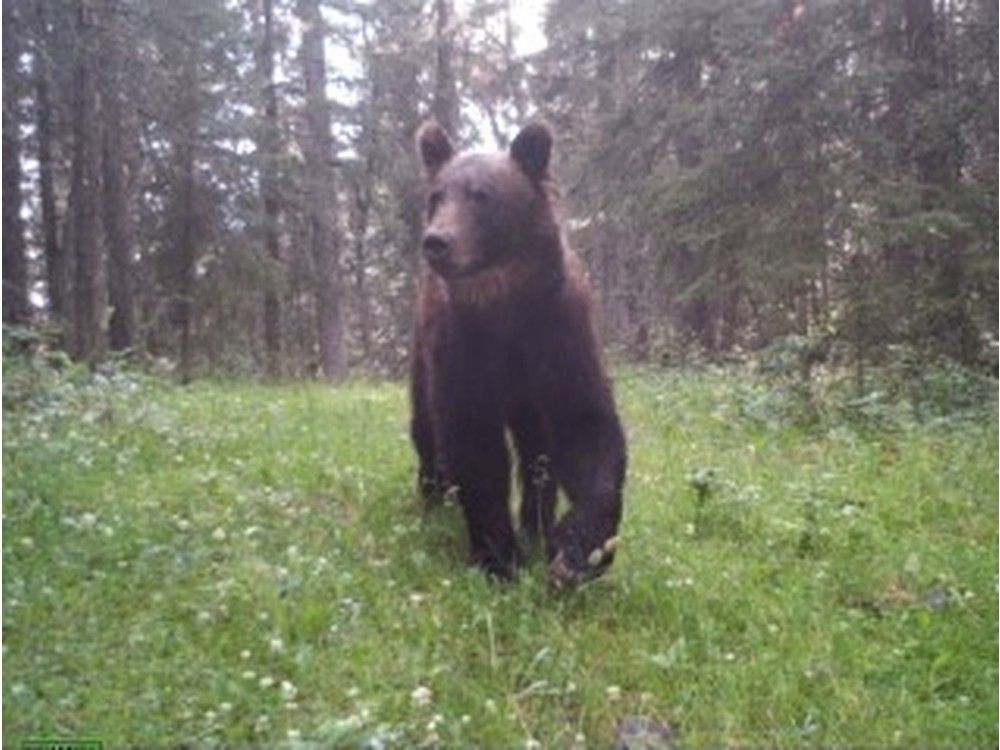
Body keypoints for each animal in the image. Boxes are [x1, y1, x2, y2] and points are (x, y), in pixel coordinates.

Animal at [409, 120, 626, 586]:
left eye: (481, 195)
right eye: (437, 196)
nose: (437, 241)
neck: (506, 303)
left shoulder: (557, 335)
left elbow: (587, 427)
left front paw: (574, 552)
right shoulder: (465, 344)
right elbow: (473, 441)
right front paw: (499, 557)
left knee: (537, 453)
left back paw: (535, 523)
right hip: (420, 351)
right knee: (425, 425)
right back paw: (433, 500)